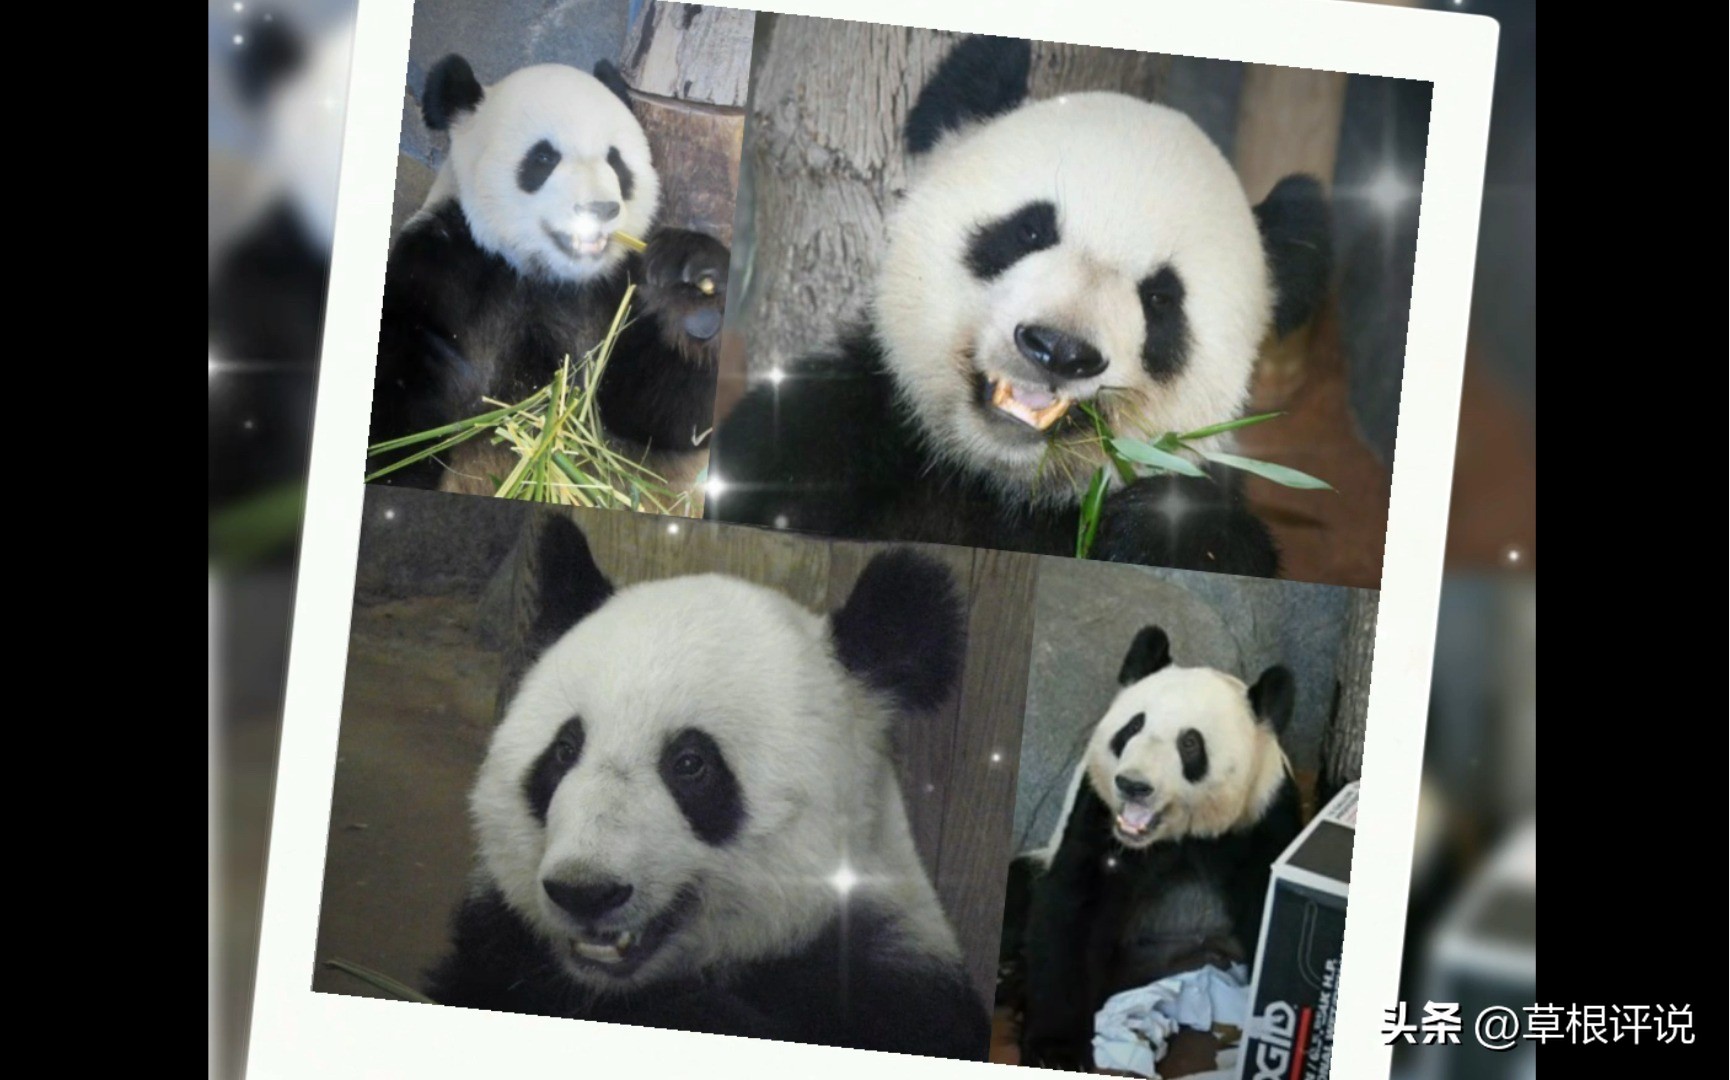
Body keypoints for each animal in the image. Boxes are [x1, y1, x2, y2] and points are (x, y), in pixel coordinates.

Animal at [368, 55, 729, 495]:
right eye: (543, 158)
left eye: (616, 161)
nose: (601, 208)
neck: (545, 276)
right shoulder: (446, 269)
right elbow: (402, 390)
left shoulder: (615, 291)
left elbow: (663, 414)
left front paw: (695, 291)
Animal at [708, 35, 1331, 578]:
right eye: (1029, 231)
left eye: (1160, 299)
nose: (1058, 350)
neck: (999, 483)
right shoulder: (837, 432)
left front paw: (1152, 529)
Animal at [1011, 626, 1303, 1070]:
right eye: (1132, 727)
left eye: (1190, 744)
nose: (1134, 785)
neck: (1184, 832)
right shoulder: (1099, 813)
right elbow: (1072, 906)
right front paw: (1055, 1050)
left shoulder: (1264, 817)